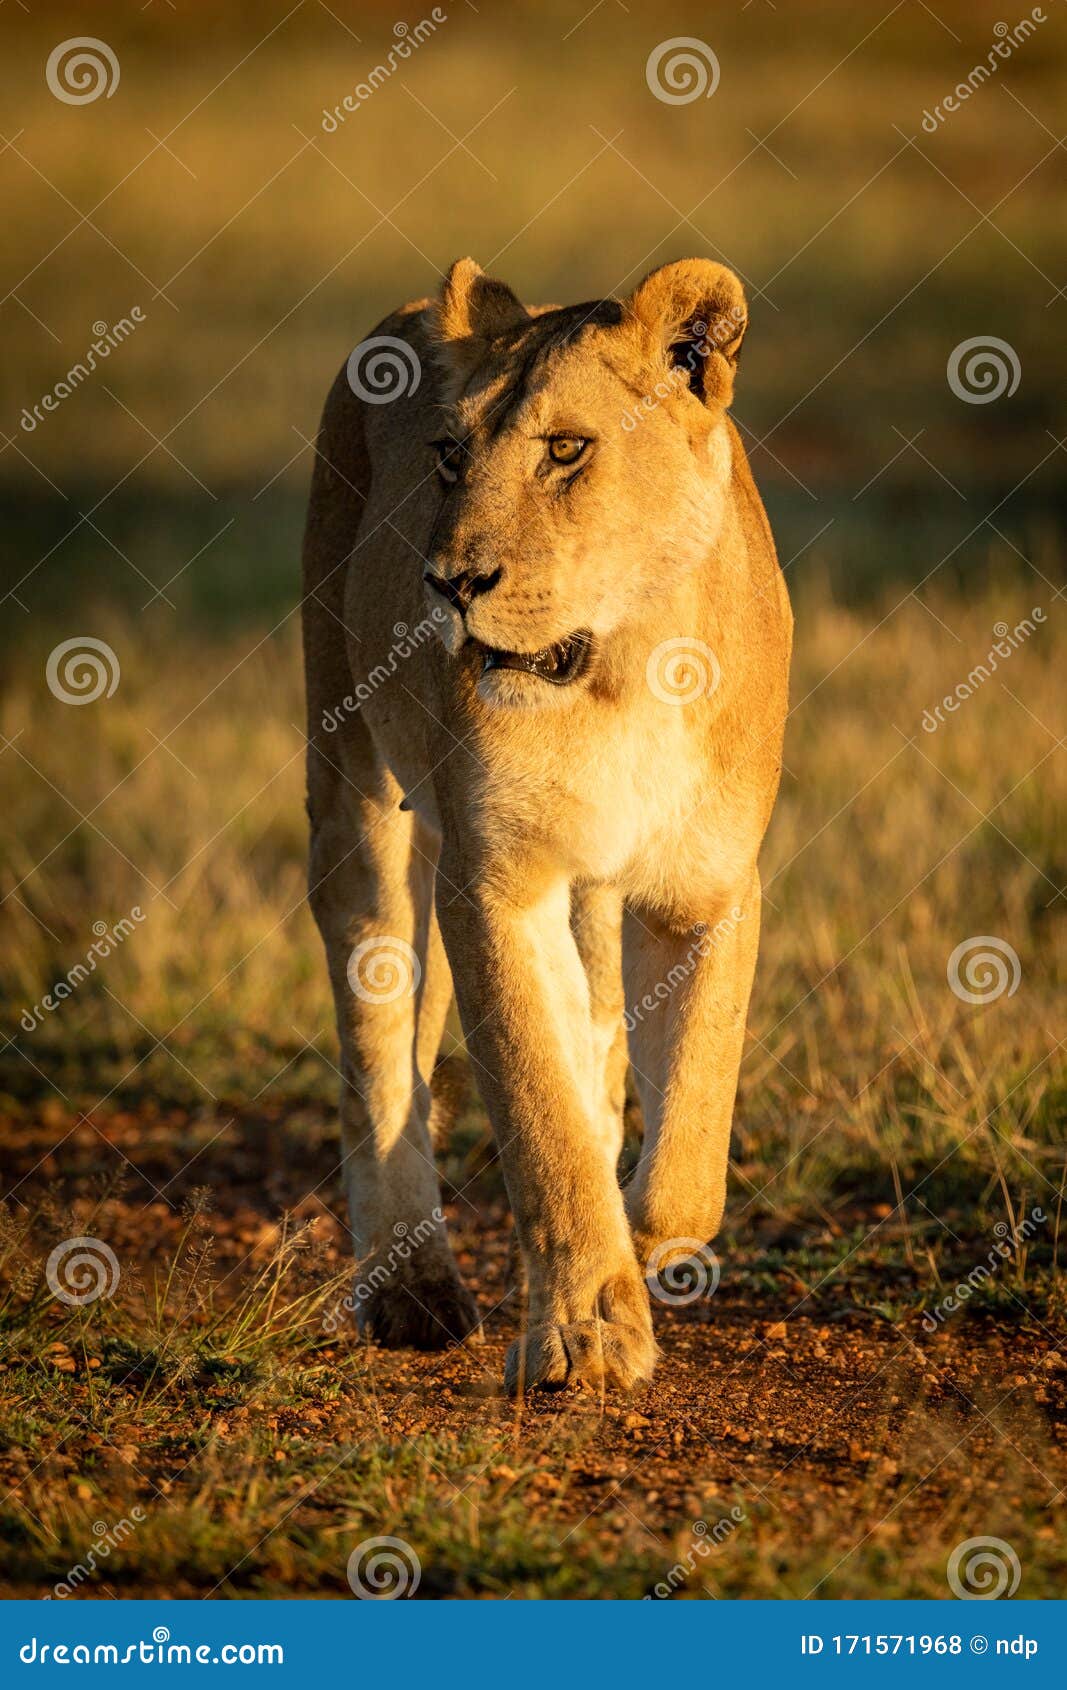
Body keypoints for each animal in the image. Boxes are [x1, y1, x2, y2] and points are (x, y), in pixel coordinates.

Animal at [301, 256, 791, 1392]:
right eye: (448, 455)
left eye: (565, 449)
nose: (449, 584)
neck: (626, 667)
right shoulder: (492, 881)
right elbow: (540, 1115)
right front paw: (588, 1327)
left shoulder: (709, 886)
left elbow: (689, 1131)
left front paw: (641, 1249)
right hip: (357, 795)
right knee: (379, 1033)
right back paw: (411, 1290)